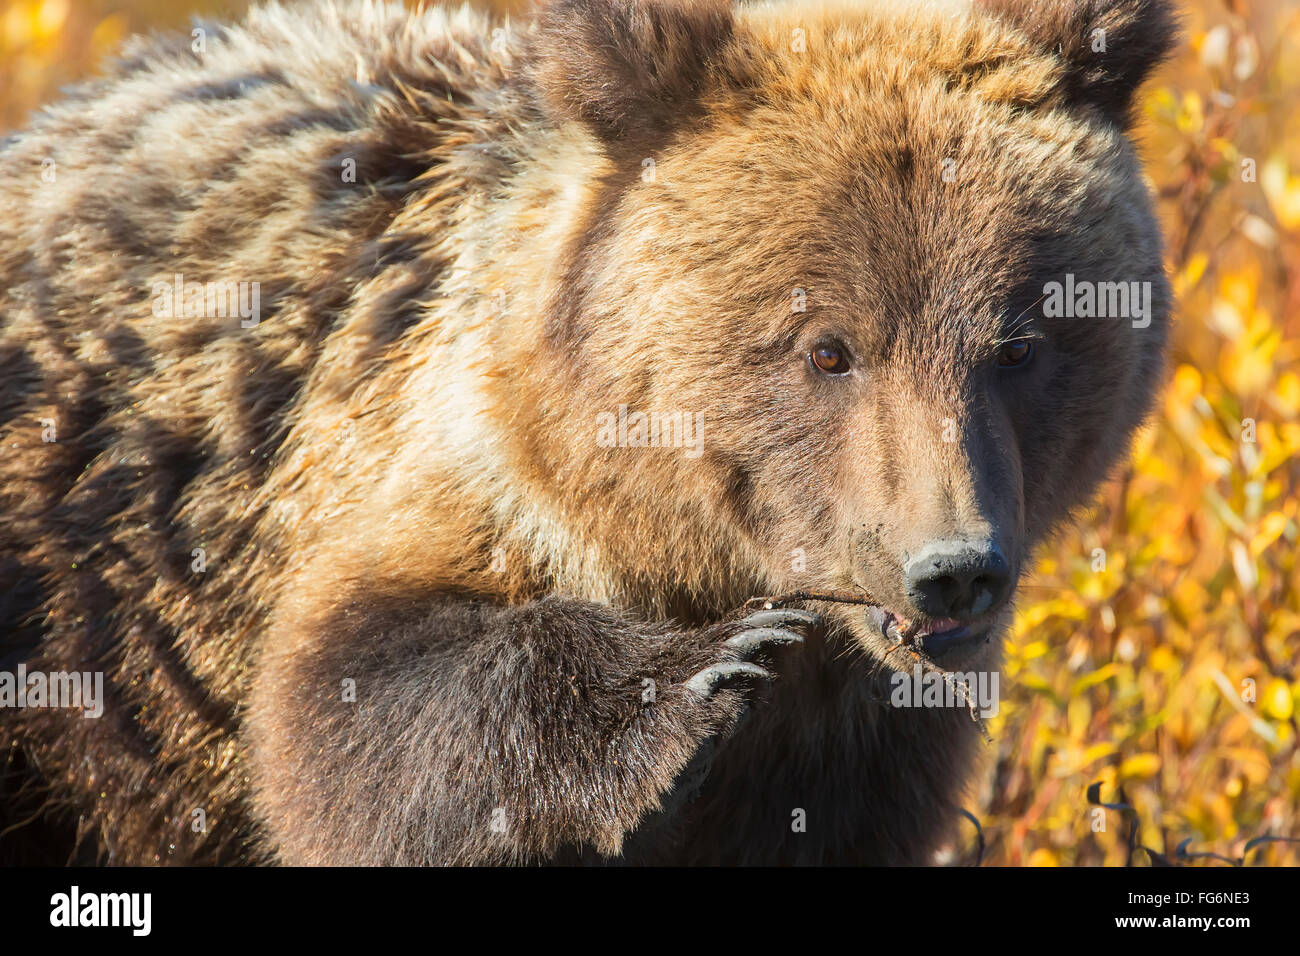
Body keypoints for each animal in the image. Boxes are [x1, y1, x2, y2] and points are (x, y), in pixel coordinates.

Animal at [0, 0, 1175, 865]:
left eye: (1019, 344)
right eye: (827, 348)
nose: (952, 568)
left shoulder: (856, 748)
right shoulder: (414, 467)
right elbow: (351, 710)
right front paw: (700, 677)